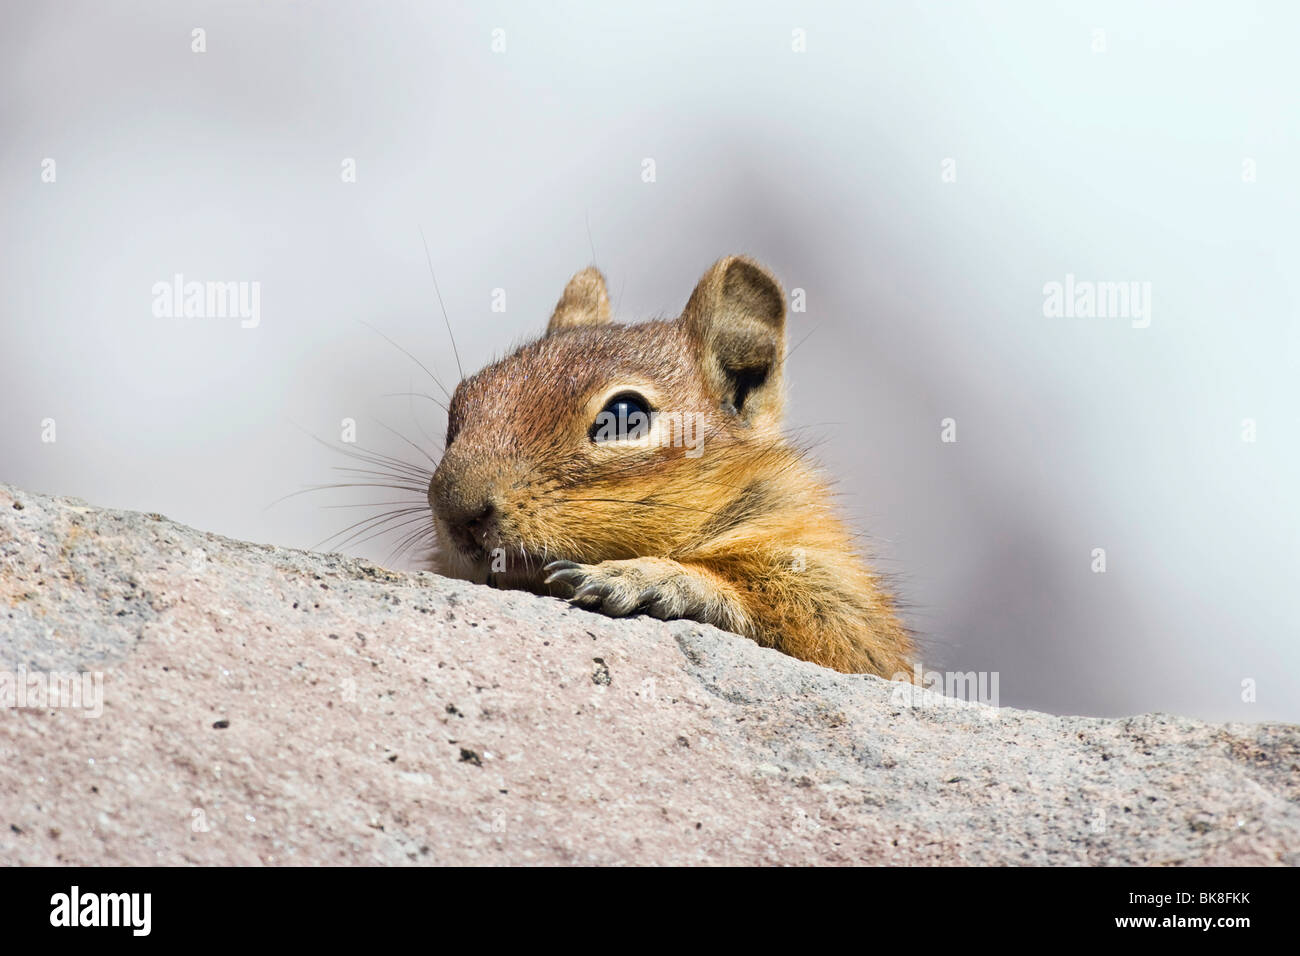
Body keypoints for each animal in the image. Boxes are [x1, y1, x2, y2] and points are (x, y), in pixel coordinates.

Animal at [426, 255, 913, 678]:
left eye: (625, 415)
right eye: (463, 399)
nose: (456, 510)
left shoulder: (829, 578)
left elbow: (842, 634)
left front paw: (652, 578)